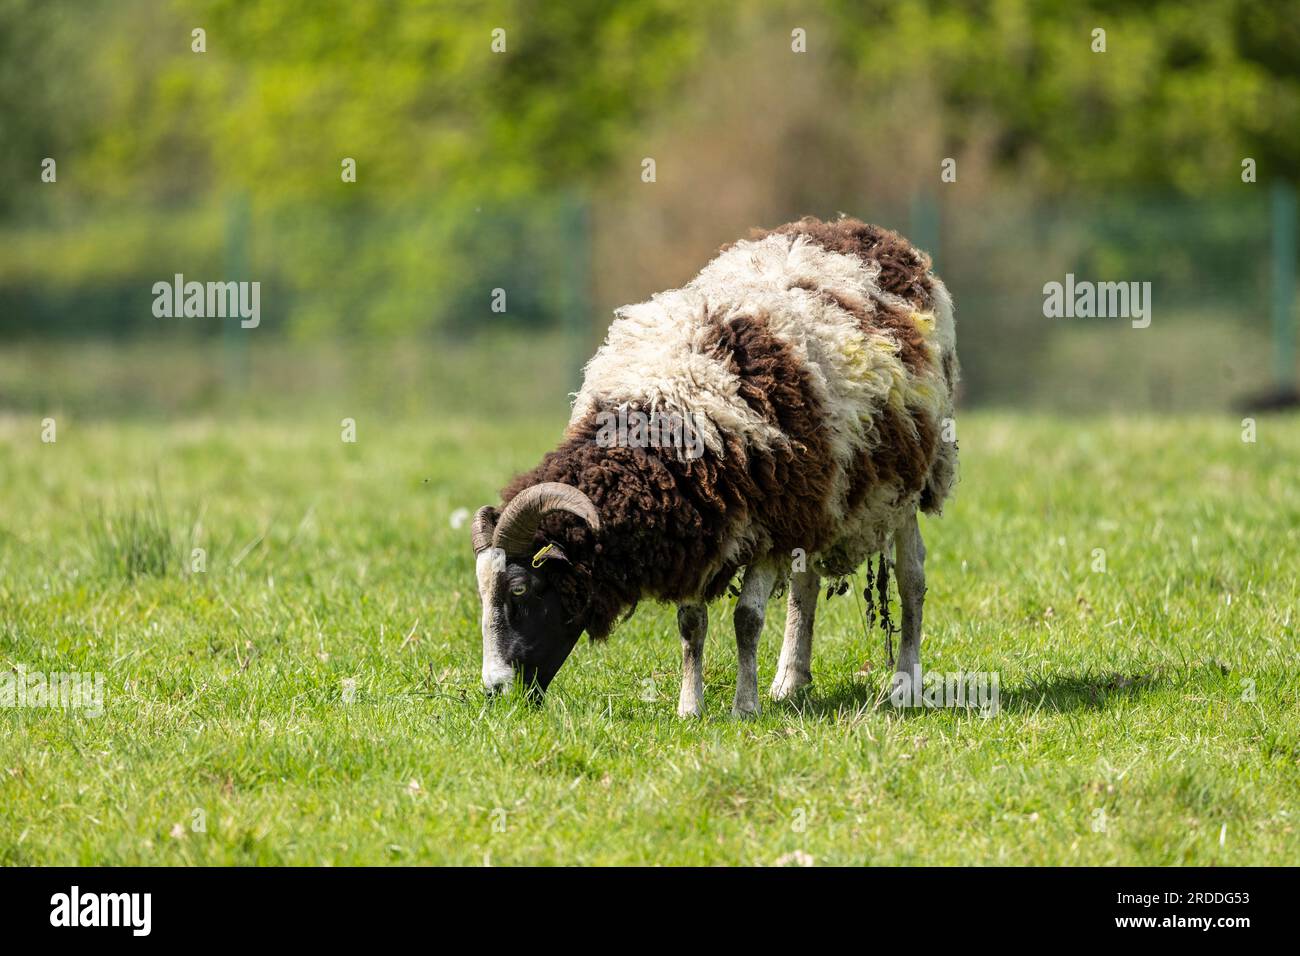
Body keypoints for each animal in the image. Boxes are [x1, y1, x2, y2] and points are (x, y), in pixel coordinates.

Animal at [471, 216, 959, 715]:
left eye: (520, 590)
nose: (495, 691)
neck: (662, 418)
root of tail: (857, 230)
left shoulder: (769, 527)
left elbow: (747, 619)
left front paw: (745, 707)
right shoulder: (696, 526)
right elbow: (691, 624)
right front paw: (690, 707)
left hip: (904, 486)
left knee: (911, 578)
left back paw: (906, 683)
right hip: (819, 499)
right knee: (804, 589)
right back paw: (790, 680)